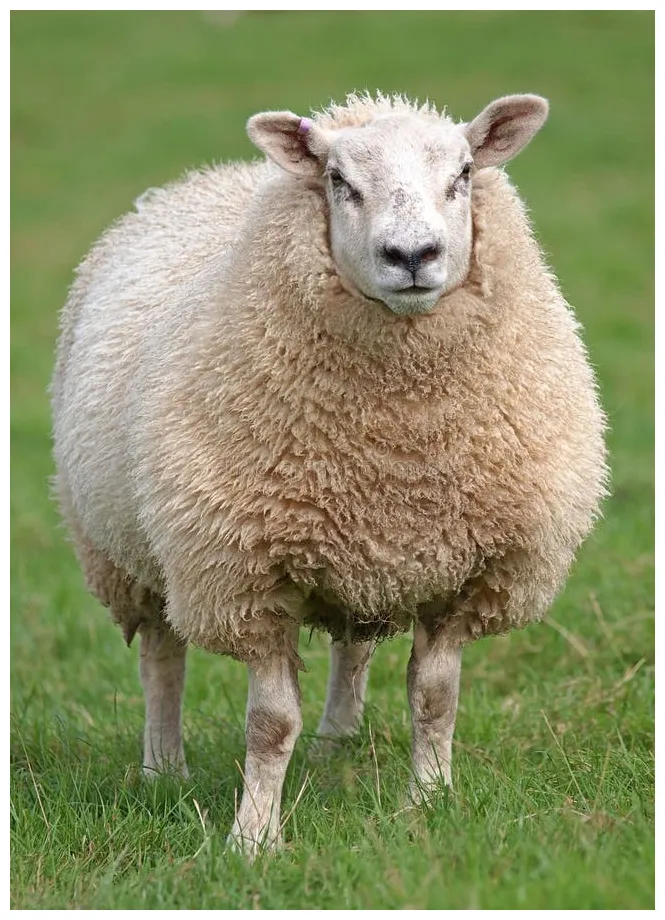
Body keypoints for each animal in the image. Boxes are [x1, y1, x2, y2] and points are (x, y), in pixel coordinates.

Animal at [51, 91, 608, 855]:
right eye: (339, 181)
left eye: (463, 173)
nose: (412, 255)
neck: (399, 449)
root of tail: (211, 176)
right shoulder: (247, 575)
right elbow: (269, 723)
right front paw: (253, 840)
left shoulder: (467, 573)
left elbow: (435, 699)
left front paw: (427, 804)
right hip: (131, 553)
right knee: (162, 658)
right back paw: (164, 769)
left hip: (359, 558)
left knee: (354, 649)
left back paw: (335, 746)